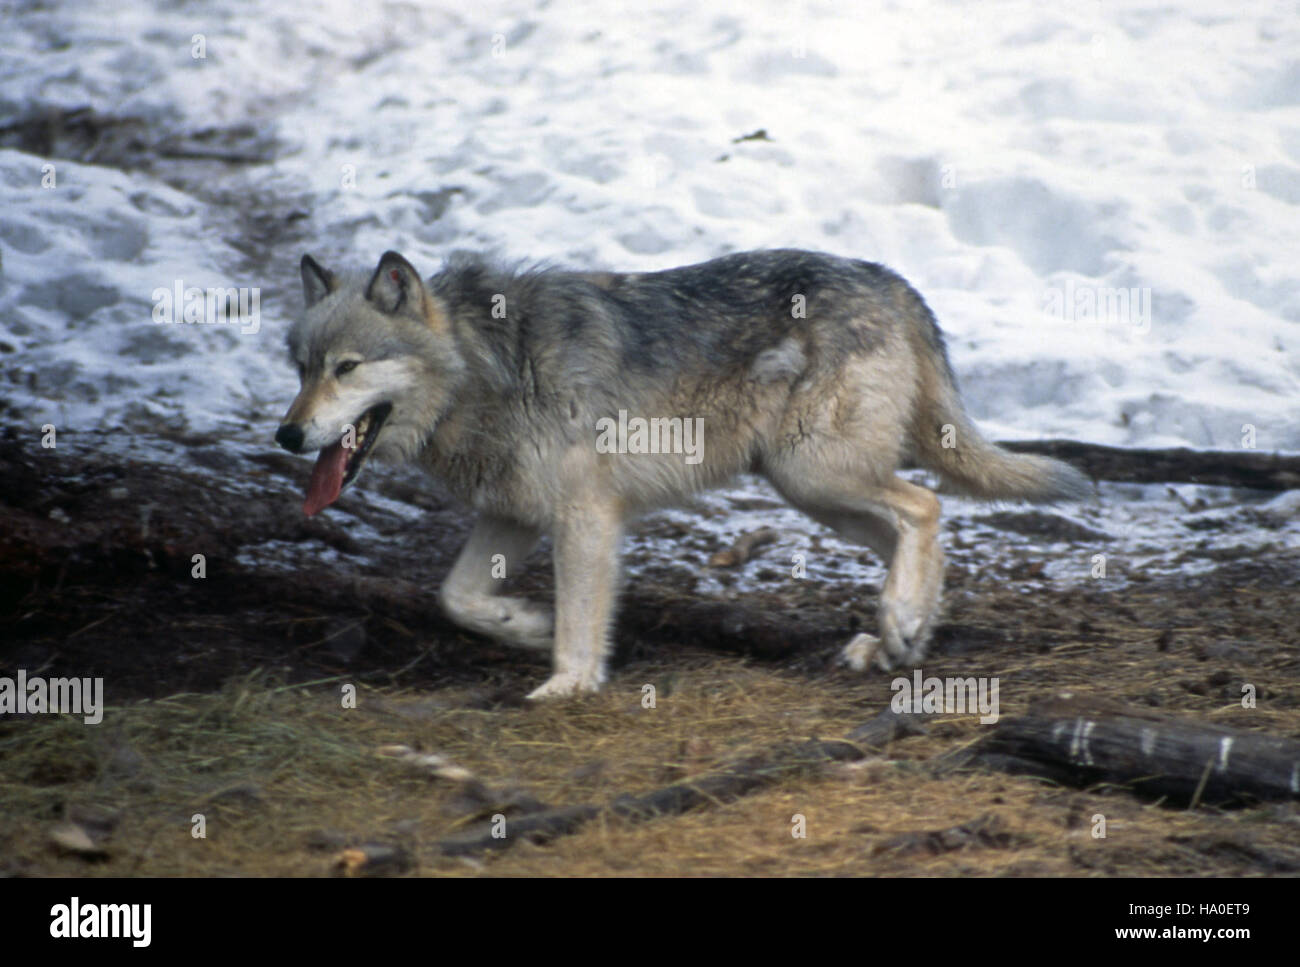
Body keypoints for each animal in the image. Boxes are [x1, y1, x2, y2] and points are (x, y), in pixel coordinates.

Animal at [276, 249, 1090, 699]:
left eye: (347, 368)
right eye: (302, 367)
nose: (287, 434)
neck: (487, 368)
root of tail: (888, 278)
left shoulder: (585, 515)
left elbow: (580, 619)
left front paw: (568, 683)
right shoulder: (509, 513)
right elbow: (456, 598)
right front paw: (527, 626)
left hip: (815, 474)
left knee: (925, 507)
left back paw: (900, 624)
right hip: (811, 489)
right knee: (914, 531)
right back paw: (897, 638)